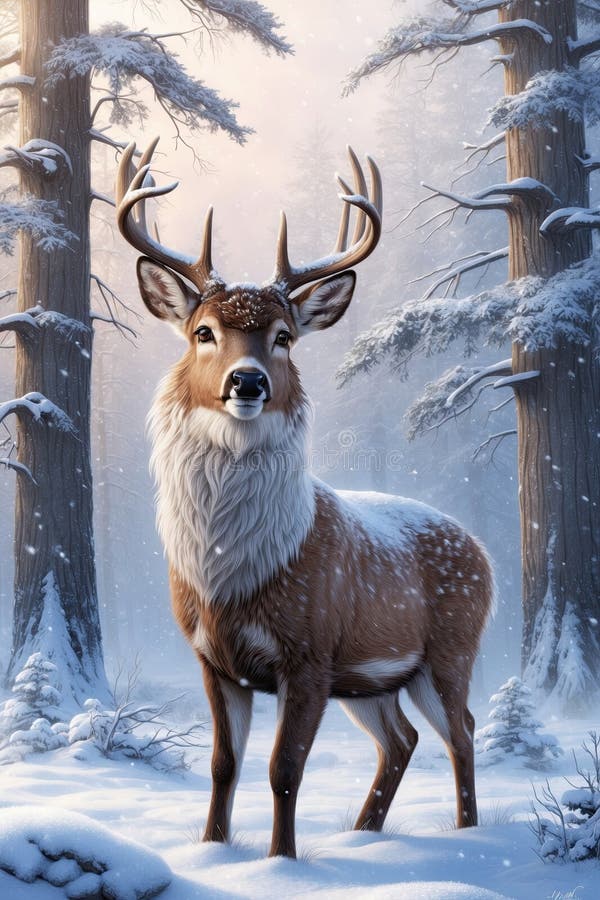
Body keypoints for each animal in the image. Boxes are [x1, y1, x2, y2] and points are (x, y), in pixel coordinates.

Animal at [115, 139, 494, 859]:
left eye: (285, 336)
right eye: (203, 331)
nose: (247, 381)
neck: (231, 575)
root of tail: (479, 547)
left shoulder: (310, 653)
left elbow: (284, 768)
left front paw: (282, 862)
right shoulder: (214, 658)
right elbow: (224, 765)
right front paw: (214, 850)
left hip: (450, 649)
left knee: (461, 732)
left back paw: (468, 832)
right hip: (373, 679)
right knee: (403, 739)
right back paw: (363, 836)